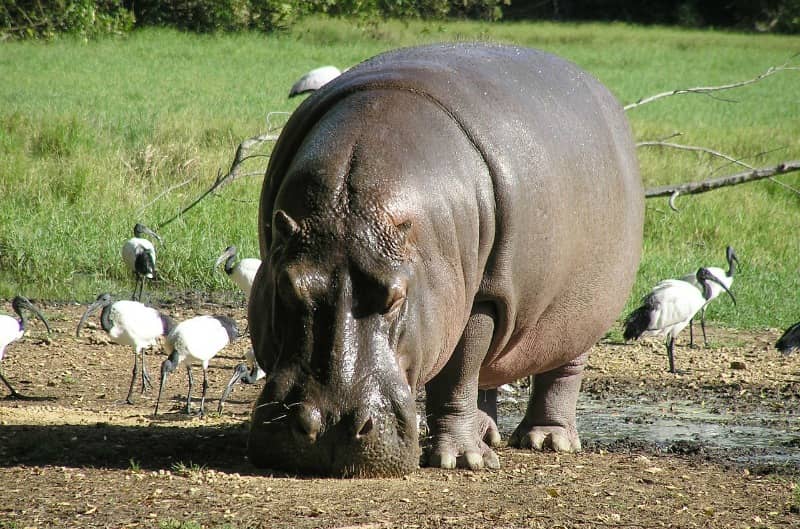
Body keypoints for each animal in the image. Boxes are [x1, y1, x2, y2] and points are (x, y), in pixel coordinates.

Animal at [247, 42, 644, 477]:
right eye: (287, 286)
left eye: (396, 297)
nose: (330, 425)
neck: (350, 209)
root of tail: (599, 89)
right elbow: (467, 374)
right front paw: (472, 452)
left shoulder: (484, 297)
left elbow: (457, 374)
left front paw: (462, 460)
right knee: (487, 375)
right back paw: (488, 435)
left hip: (583, 313)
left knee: (559, 371)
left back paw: (548, 440)